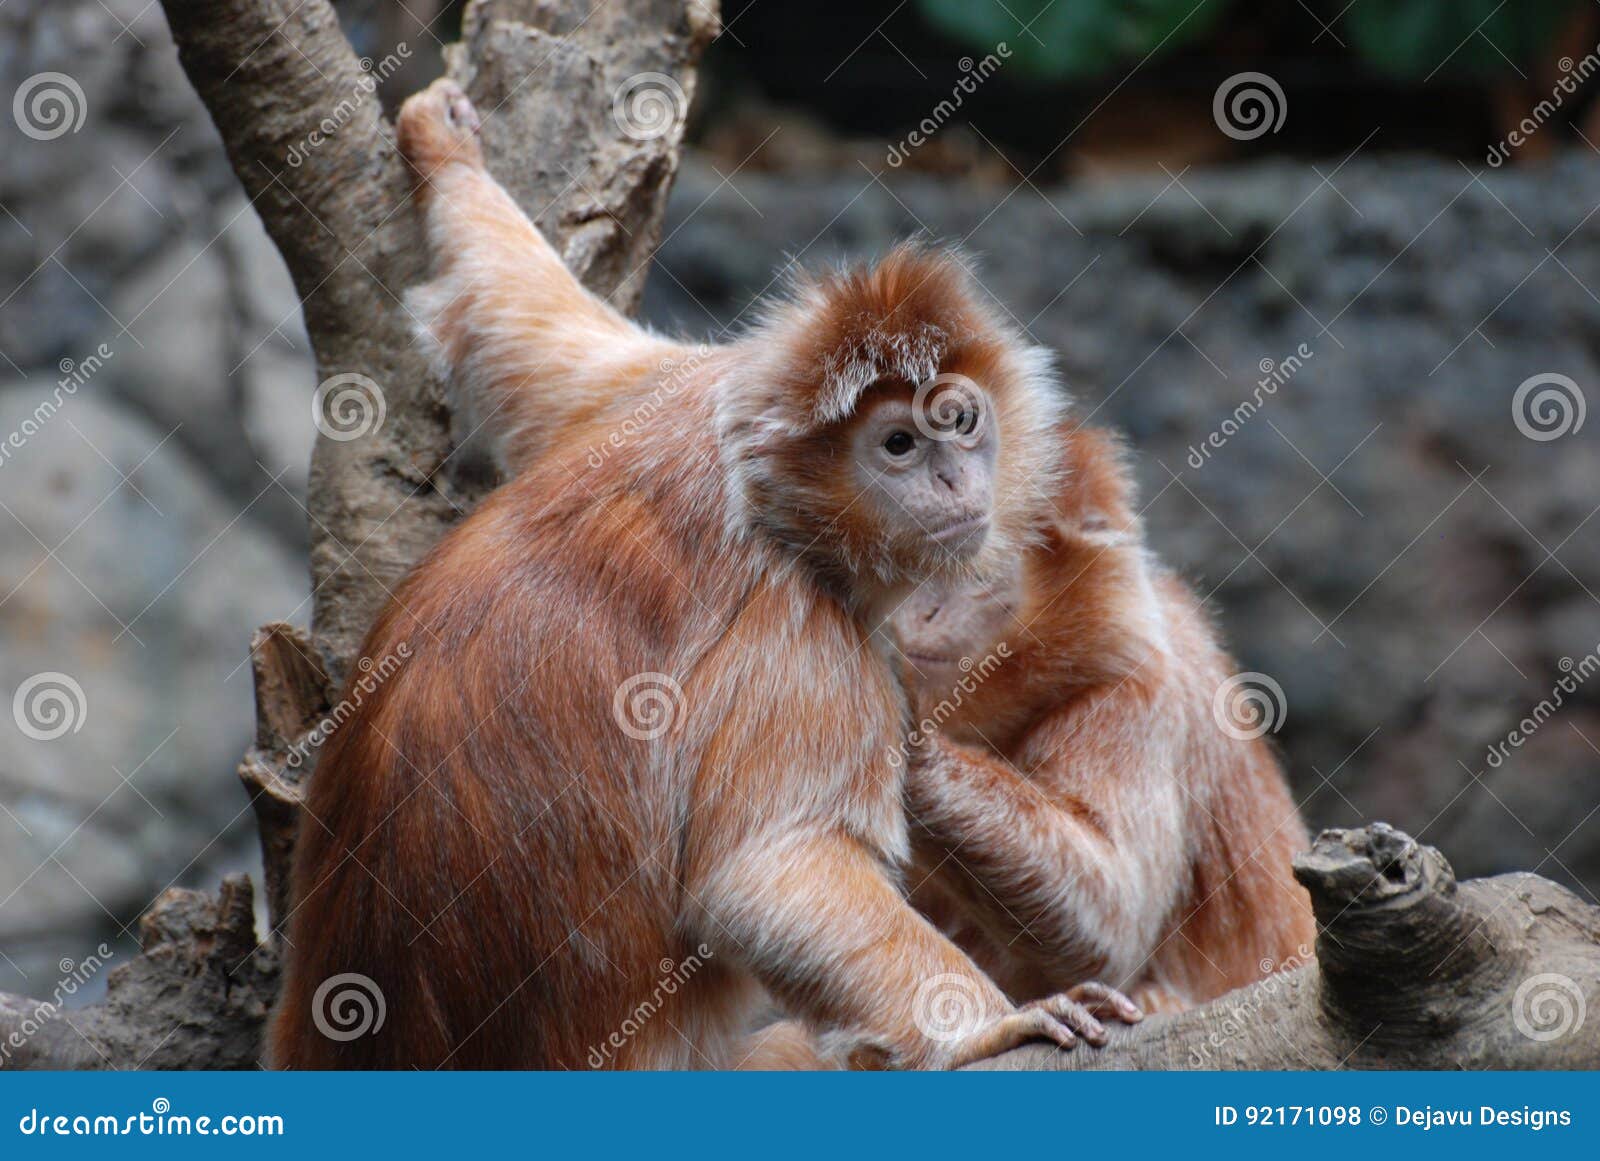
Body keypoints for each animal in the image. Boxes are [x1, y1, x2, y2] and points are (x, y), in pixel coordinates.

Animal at [268, 78, 1139, 1070]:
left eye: (958, 420)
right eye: (898, 445)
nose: (955, 480)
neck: (769, 493)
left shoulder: (674, 388)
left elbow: (537, 337)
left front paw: (446, 155)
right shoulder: (794, 624)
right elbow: (764, 876)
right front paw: (1001, 1023)